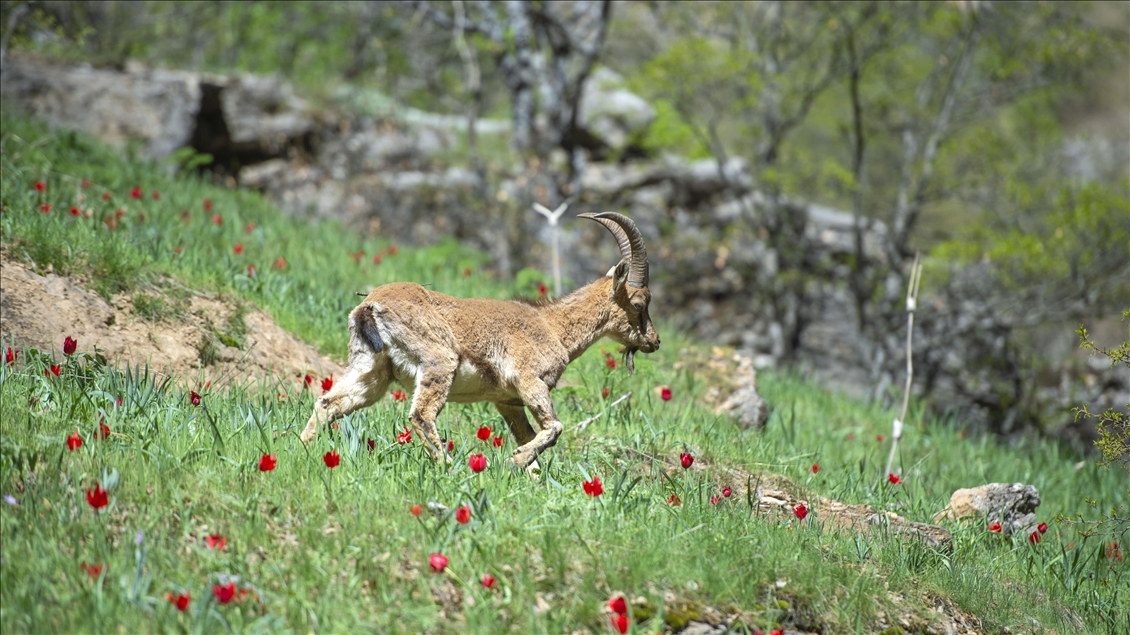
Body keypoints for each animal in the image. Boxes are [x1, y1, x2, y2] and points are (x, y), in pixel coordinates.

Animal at [299, 213, 660, 469]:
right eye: (640, 302)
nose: (654, 342)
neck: (553, 327)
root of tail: (370, 305)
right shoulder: (530, 381)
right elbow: (555, 428)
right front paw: (516, 459)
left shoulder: (507, 401)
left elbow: (530, 436)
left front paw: (526, 473)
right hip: (439, 361)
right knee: (421, 415)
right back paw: (448, 466)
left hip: (371, 368)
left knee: (329, 402)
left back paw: (303, 448)